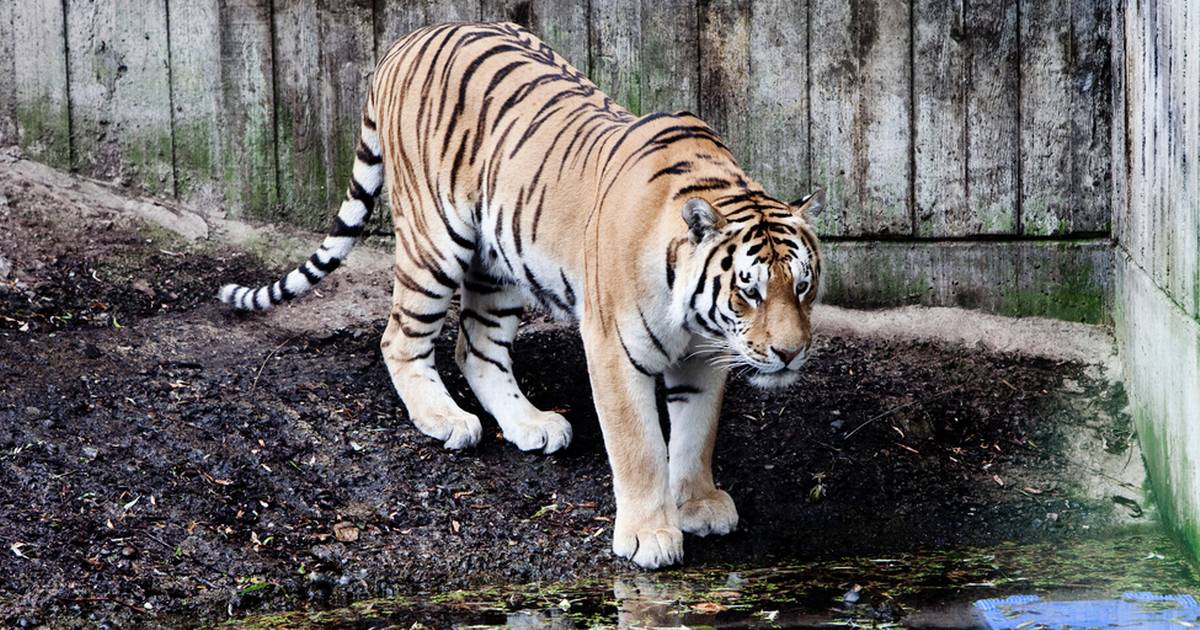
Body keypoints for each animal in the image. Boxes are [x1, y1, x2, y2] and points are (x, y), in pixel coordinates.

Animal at [218, 21, 822, 569]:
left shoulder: (704, 357)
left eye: (802, 285)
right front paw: (650, 535)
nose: (791, 354)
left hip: (500, 266)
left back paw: (532, 425)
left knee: (476, 349)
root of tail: (406, 39)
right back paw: (446, 418)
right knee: (400, 339)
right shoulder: (613, 350)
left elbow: (696, 434)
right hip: (434, 243)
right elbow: (640, 446)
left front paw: (697, 505)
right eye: (749, 290)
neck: (694, 318)